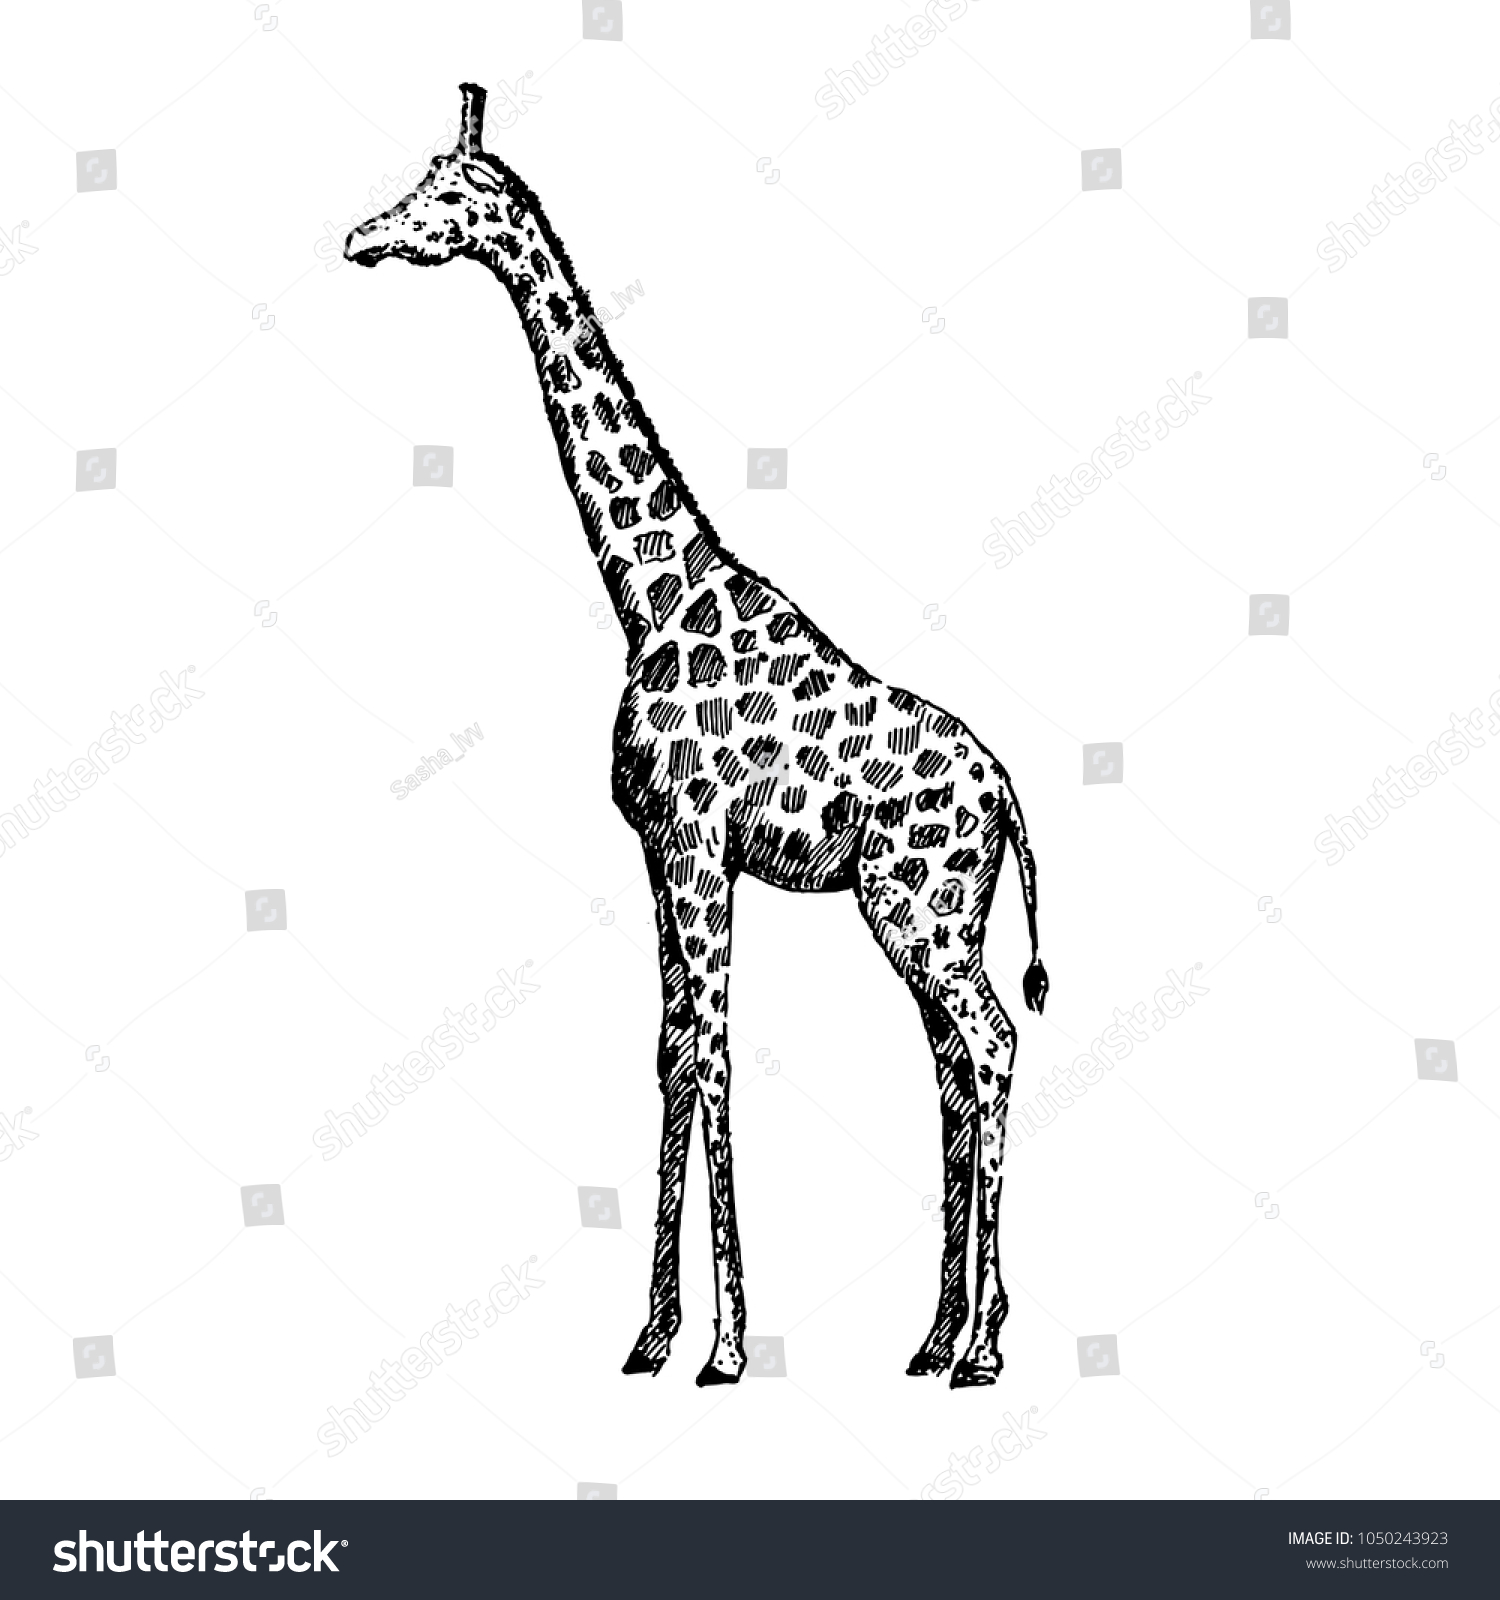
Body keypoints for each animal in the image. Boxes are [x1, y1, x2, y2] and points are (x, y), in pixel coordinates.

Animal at [346, 84, 1050, 1389]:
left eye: (443, 191)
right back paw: (933, 1336)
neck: (651, 594)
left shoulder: (692, 846)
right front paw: (655, 1333)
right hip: (931, 914)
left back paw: (982, 1343)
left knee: (990, 1044)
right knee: (954, 1067)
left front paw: (725, 1346)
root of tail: (1011, 800)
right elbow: (673, 1050)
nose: (360, 236)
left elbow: (712, 1050)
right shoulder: (661, 852)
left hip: (918, 907)